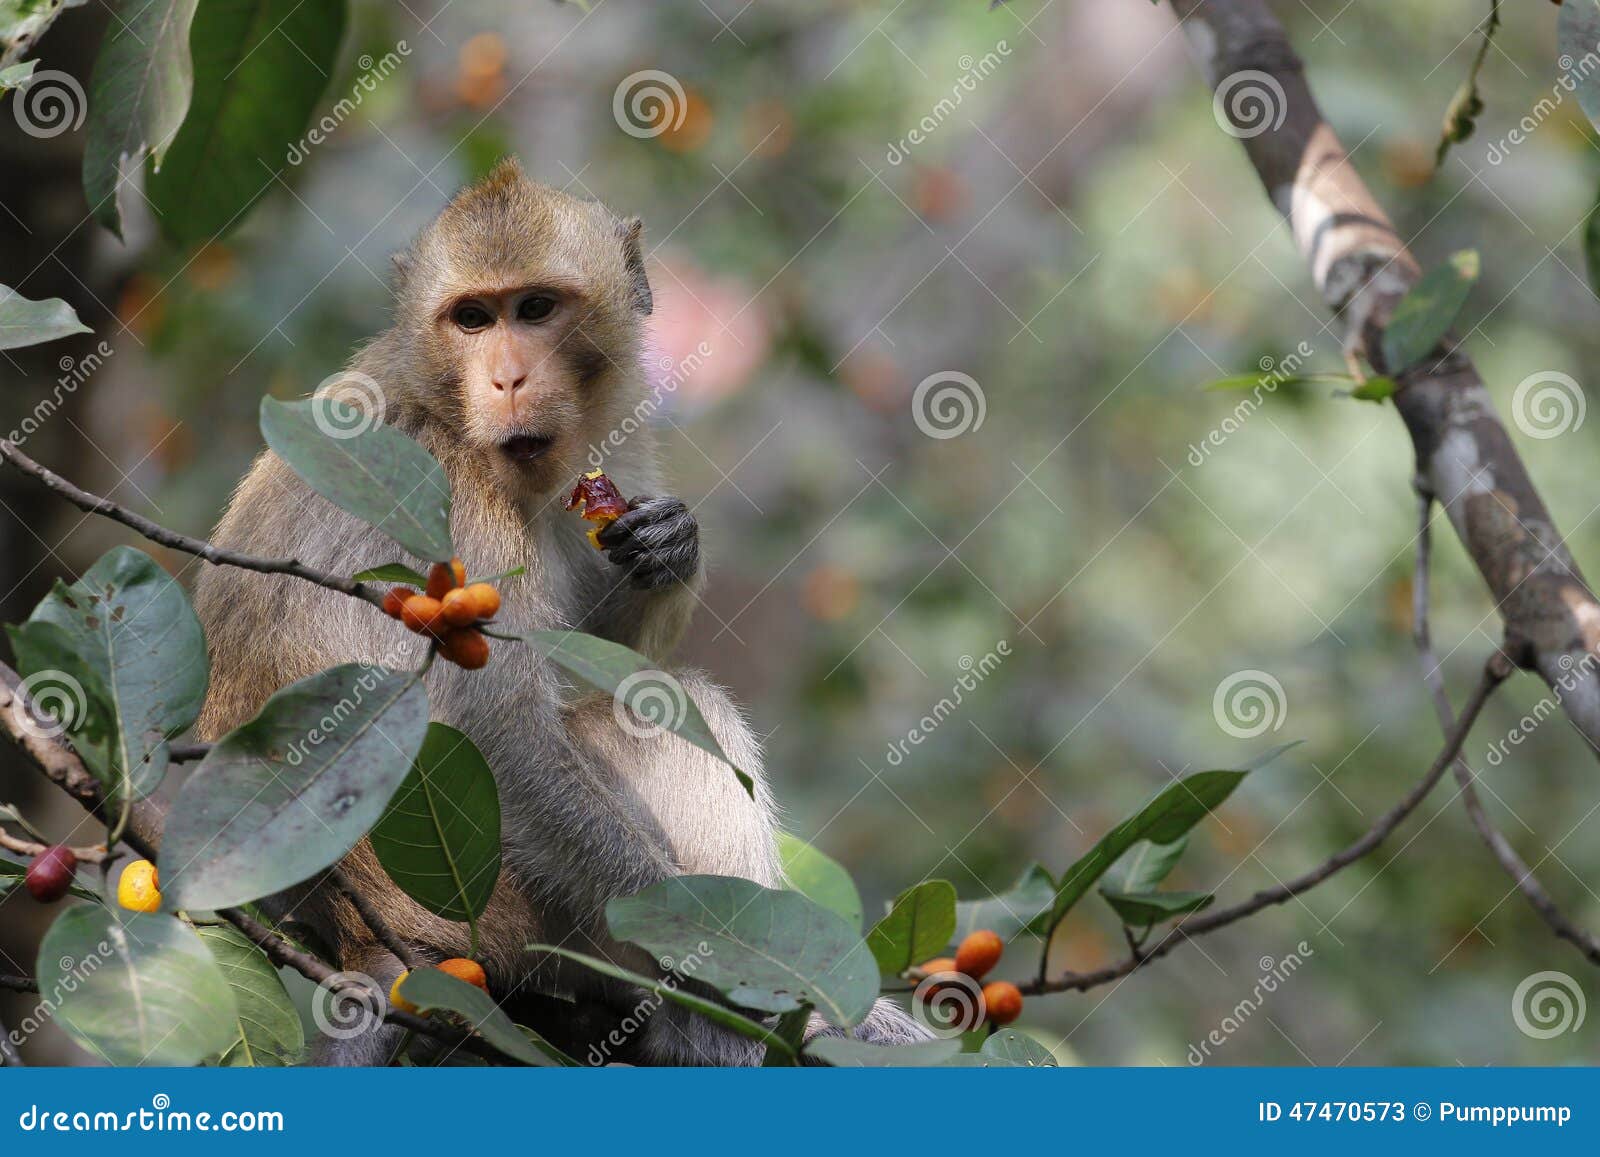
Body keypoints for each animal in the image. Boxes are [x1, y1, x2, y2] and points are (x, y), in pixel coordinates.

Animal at [191, 158, 930, 1065]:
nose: (507, 377)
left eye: (536, 308)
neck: (447, 409)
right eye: (472, 318)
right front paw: (738, 968)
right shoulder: (451, 502)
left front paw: (671, 545)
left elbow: (595, 649)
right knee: (673, 712)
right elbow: (497, 737)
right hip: (504, 910)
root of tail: (359, 935)